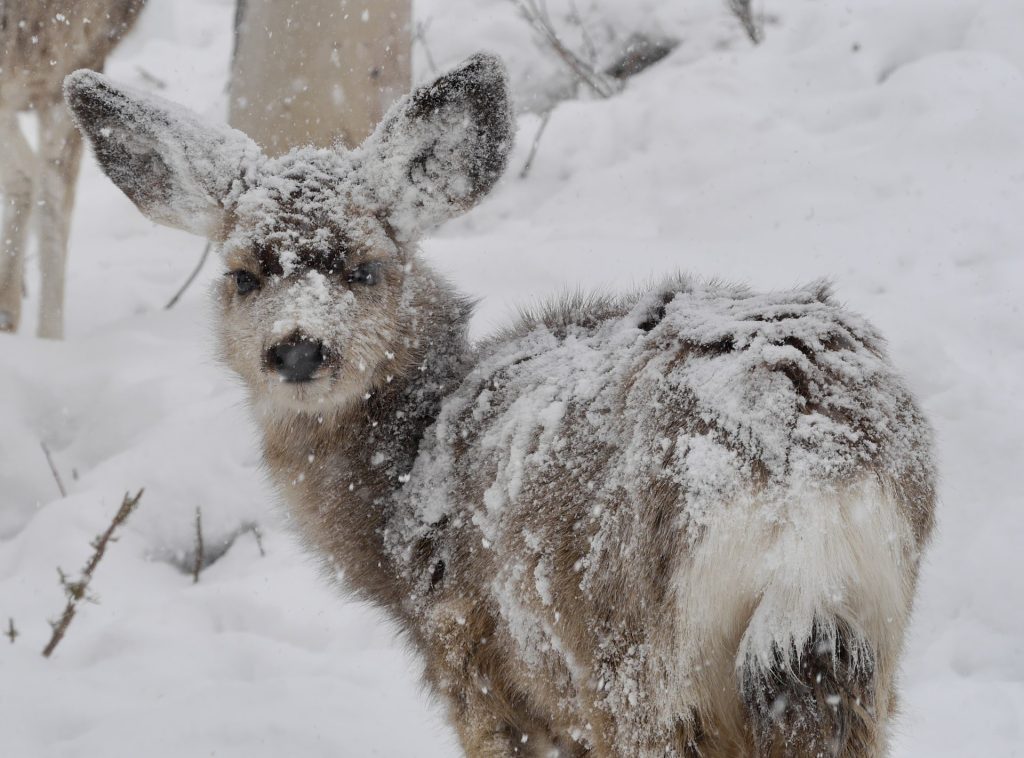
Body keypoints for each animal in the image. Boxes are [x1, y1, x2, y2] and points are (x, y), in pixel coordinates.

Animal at [64, 53, 935, 757]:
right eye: (243, 274)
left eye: (364, 267)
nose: (299, 349)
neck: (401, 478)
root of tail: (802, 460)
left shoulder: (474, 667)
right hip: (856, 659)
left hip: (635, 660)